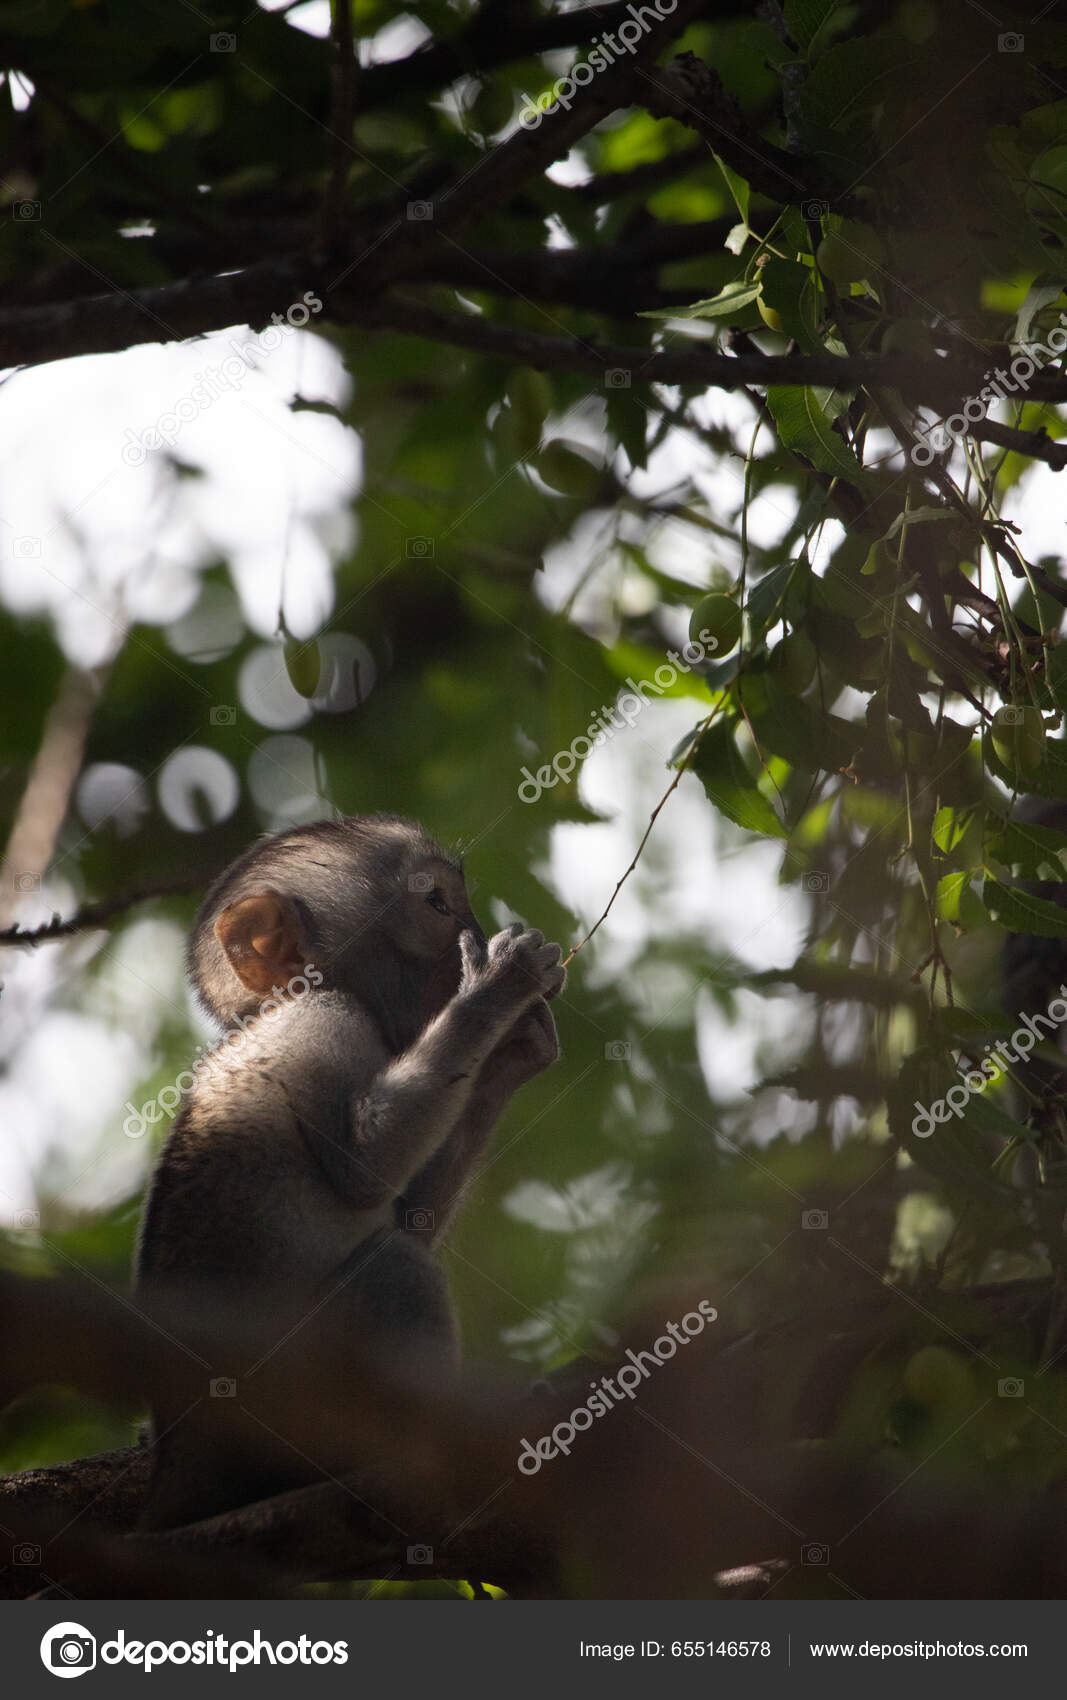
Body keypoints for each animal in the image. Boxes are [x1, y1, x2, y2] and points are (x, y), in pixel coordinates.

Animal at [133, 814, 565, 1531]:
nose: (479, 937)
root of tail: (179, 1469)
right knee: (396, 1269)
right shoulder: (323, 1022)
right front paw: (499, 987)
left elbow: (409, 1212)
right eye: (437, 904)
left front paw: (516, 1046)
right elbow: (365, 1167)